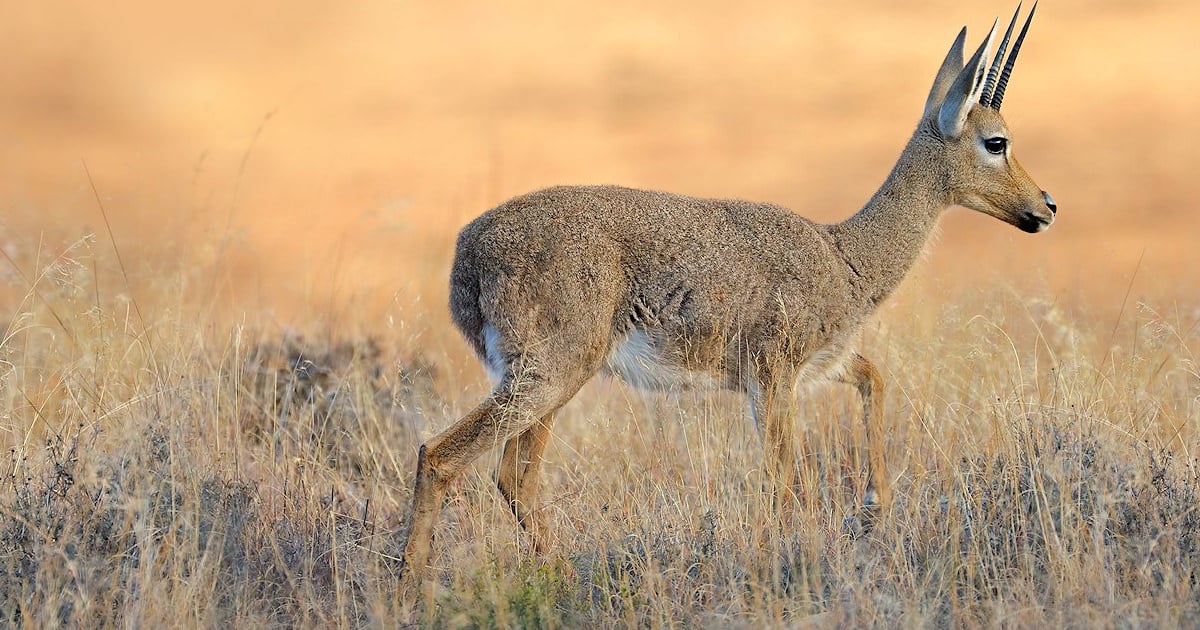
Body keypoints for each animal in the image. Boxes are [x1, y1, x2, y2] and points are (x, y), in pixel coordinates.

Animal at [398, 4, 1055, 590]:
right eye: (997, 141)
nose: (1046, 206)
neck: (844, 255)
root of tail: (468, 248)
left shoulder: (819, 367)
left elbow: (874, 378)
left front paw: (875, 502)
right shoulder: (773, 378)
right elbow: (785, 477)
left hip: (547, 385)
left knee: (513, 476)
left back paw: (555, 572)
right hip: (549, 376)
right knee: (443, 456)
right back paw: (414, 588)